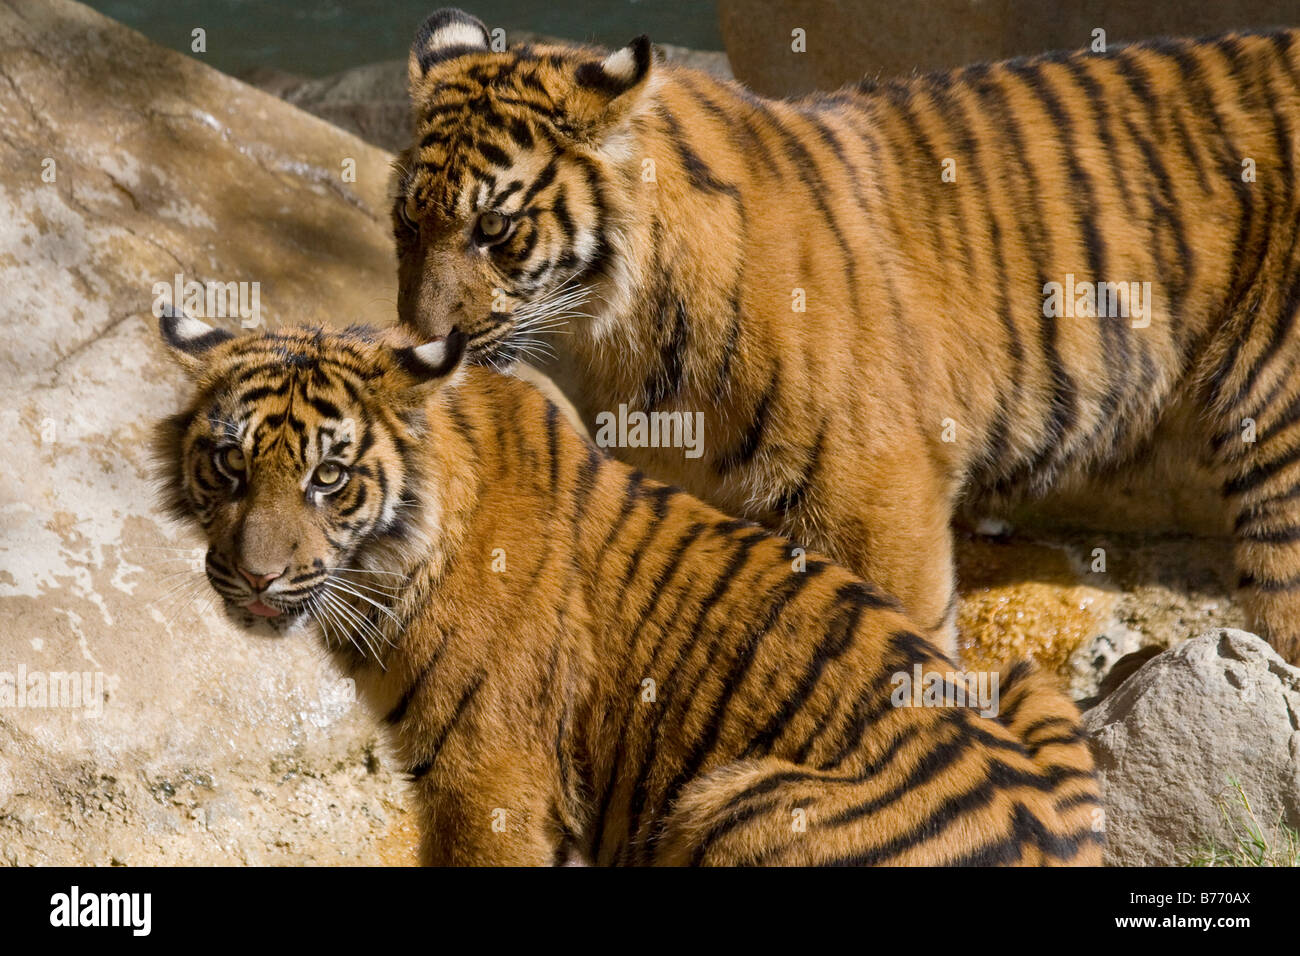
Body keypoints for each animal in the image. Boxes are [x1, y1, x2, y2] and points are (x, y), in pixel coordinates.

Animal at [154, 310, 1101, 866]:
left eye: (329, 477)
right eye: (230, 462)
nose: (257, 575)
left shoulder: (487, 780)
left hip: (732, 801)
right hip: (1030, 683)